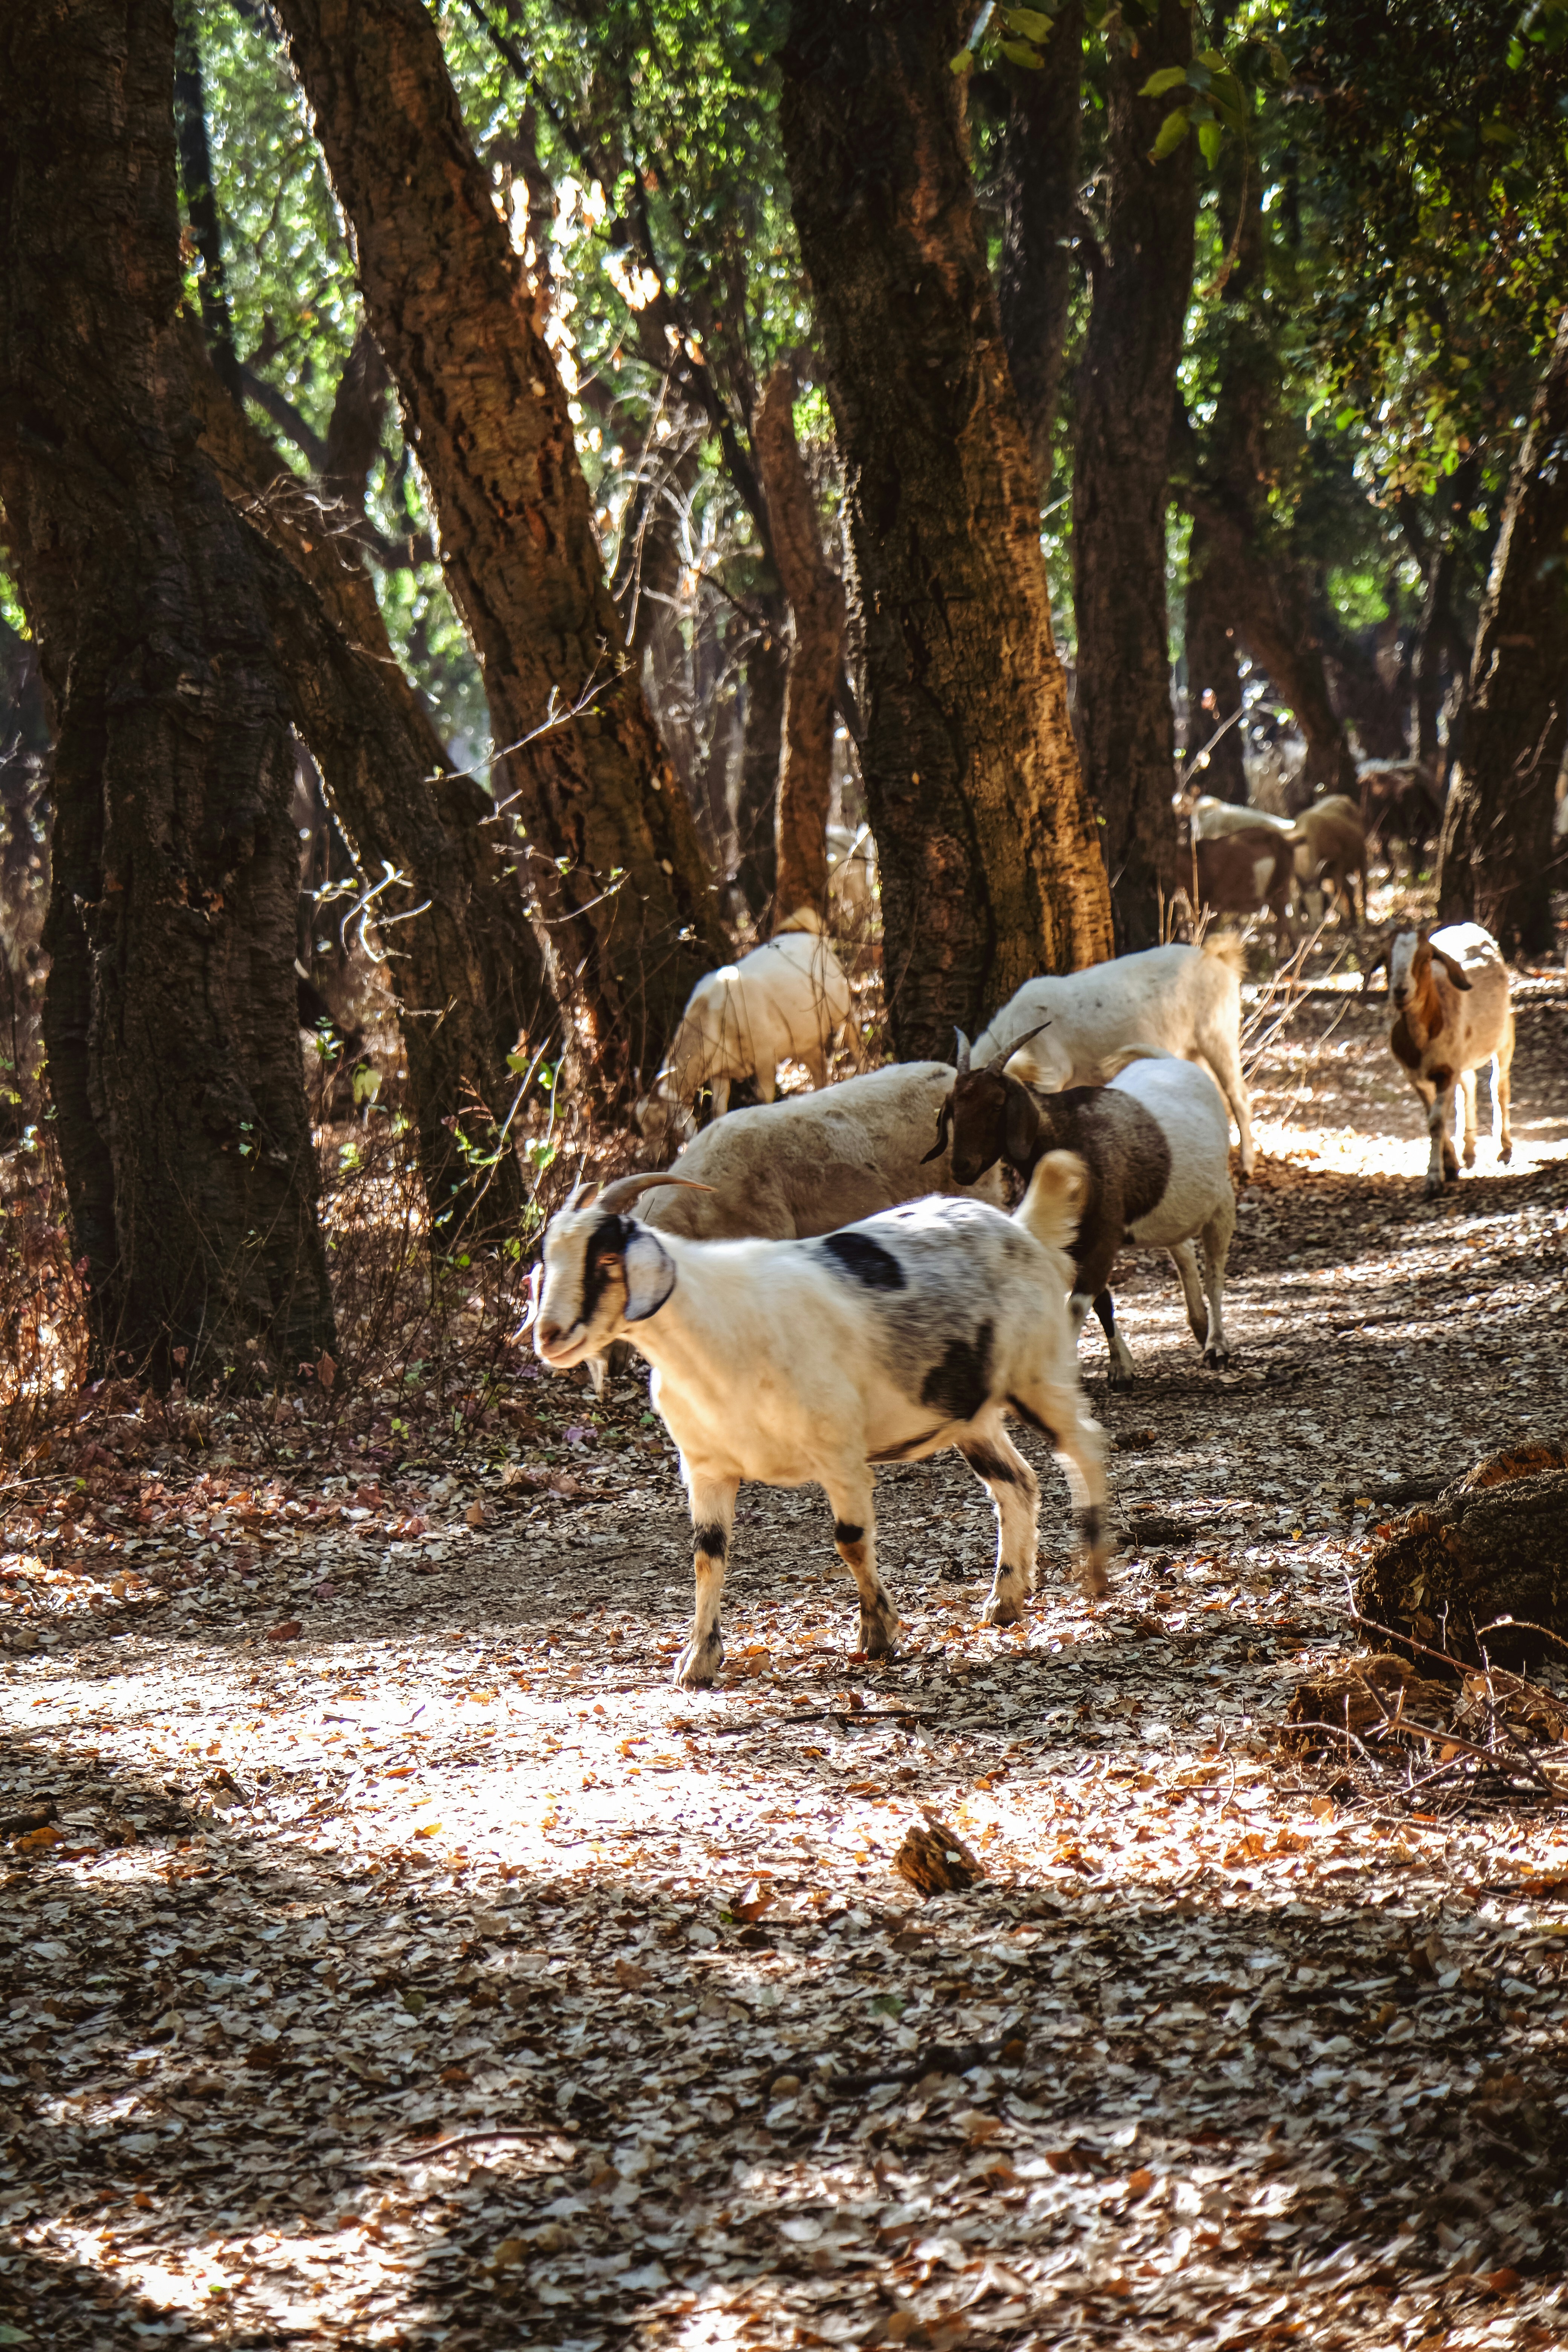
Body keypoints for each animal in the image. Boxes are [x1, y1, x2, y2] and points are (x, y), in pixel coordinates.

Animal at [529, 1164, 1112, 1685]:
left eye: (608, 1257)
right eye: (547, 1261)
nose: (549, 1336)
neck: (718, 1331)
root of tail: (1021, 1229)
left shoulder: (840, 1456)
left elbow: (850, 1541)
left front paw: (878, 1636)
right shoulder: (707, 1467)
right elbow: (707, 1557)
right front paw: (697, 1663)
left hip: (1038, 1373)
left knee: (1084, 1446)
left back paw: (1095, 1576)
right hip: (969, 1413)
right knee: (1017, 1483)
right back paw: (1006, 1601)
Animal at [637, 911, 853, 1145]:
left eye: (664, 1126)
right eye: (643, 1129)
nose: (653, 1154)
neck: (710, 1012)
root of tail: (813, 934)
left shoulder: (765, 1058)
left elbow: (765, 1098)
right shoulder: (720, 1073)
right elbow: (718, 1111)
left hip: (845, 1009)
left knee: (855, 1042)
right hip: (806, 1041)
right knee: (821, 1072)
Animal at [926, 1034, 1234, 1385]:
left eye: (996, 1104)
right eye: (953, 1108)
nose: (962, 1168)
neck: (1066, 1133)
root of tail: (1170, 1061)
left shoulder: (1105, 1233)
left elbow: (1077, 1305)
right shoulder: (1078, 1238)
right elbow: (1102, 1301)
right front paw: (1121, 1368)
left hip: (1222, 1203)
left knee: (1215, 1274)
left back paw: (1217, 1346)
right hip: (1172, 1209)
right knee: (1182, 1250)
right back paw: (1199, 1325)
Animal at [974, 941, 1256, 1175]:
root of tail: (1220, 961)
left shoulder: (1052, 1073)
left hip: (1218, 1032)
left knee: (1238, 1095)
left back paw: (1247, 1165)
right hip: (1192, 1050)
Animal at [1368, 923, 1514, 1196]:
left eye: (1425, 959)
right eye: (1384, 959)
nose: (1400, 991)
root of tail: (1468, 925)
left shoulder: (1446, 1071)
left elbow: (1436, 1121)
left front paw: (1435, 1178)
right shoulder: (1416, 1076)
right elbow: (1432, 1116)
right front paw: (1450, 1166)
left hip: (1505, 1035)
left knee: (1499, 1086)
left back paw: (1504, 1149)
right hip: (1463, 1054)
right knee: (1469, 1085)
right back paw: (1468, 1151)